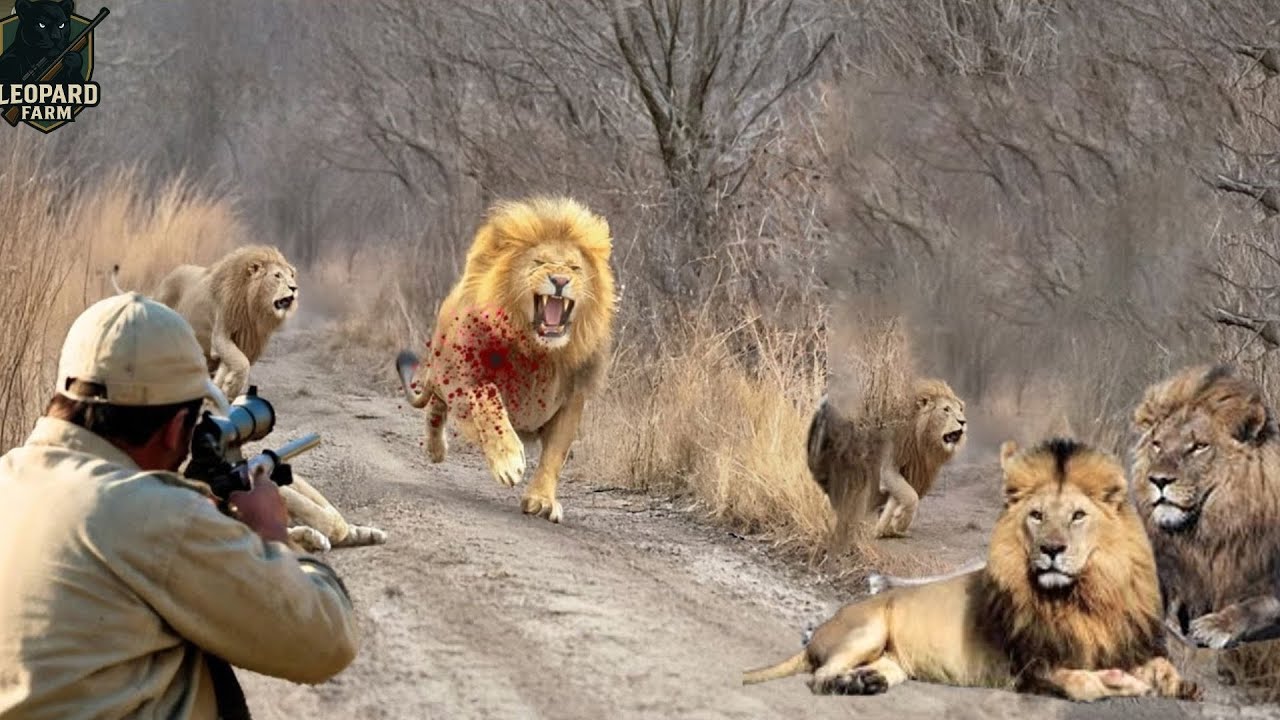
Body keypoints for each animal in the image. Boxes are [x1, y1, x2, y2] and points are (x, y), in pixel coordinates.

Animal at [395, 196, 616, 524]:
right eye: (539, 263)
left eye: (574, 267)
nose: (560, 279)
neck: (540, 350)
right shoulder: (469, 374)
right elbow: (489, 401)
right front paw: (508, 461)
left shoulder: (571, 399)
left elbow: (554, 455)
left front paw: (541, 500)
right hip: (444, 371)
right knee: (435, 406)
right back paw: (436, 450)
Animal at [744, 438, 1202, 703]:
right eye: (1036, 515)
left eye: (1078, 516)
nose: (1052, 550)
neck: (1081, 595)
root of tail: (820, 633)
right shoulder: (1029, 668)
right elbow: (1084, 685)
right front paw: (1123, 683)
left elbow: (1160, 668)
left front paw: (1178, 684)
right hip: (867, 629)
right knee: (819, 675)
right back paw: (844, 682)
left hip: (893, 660)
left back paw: (864, 682)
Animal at [807, 378, 967, 539]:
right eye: (946, 409)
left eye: (960, 409)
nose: (963, 422)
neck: (920, 437)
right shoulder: (888, 466)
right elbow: (911, 497)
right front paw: (899, 523)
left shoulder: (908, 468)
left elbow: (896, 500)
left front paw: (885, 529)